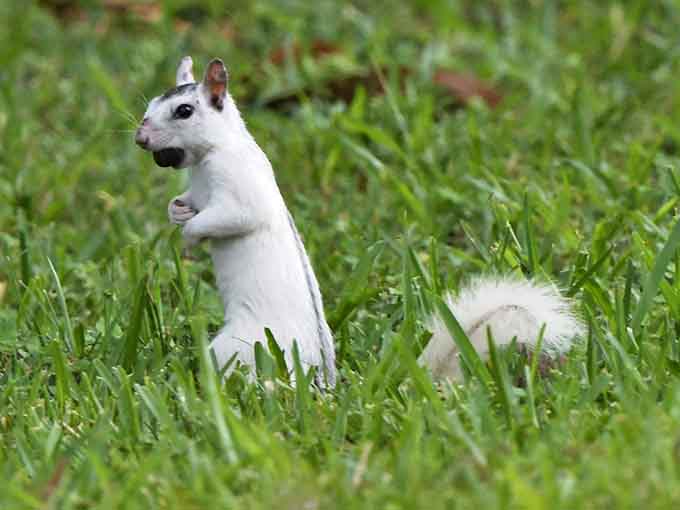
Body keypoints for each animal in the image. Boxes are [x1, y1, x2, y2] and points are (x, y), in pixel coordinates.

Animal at [135, 56, 582, 385]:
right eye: (150, 105)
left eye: (184, 110)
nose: (140, 139)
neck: (212, 153)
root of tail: (324, 384)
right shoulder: (200, 189)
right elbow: (189, 202)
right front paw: (177, 212)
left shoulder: (241, 186)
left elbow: (238, 216)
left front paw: (192, 236)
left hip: (242, 345)